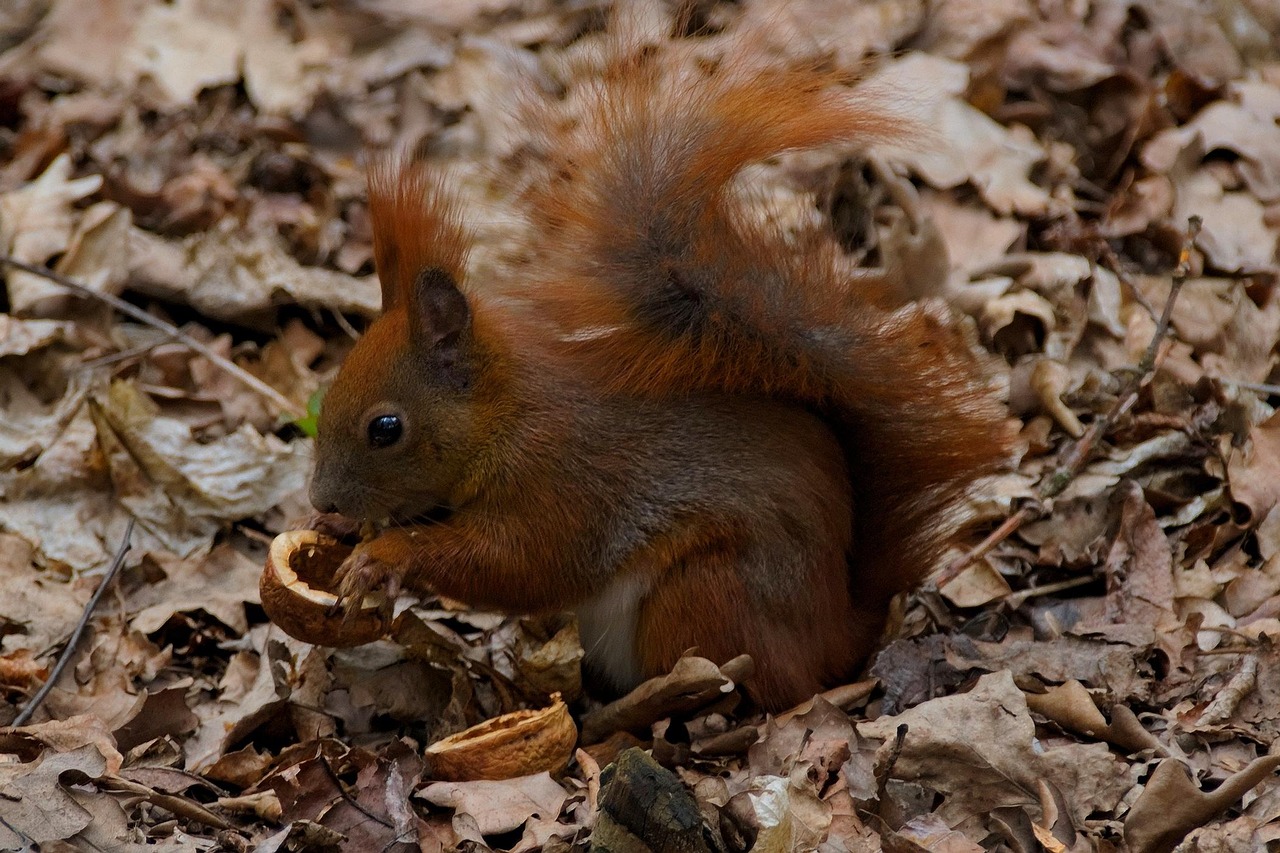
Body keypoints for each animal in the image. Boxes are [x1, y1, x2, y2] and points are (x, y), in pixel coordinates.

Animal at [306, 40, 1013, 711]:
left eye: (386, 428)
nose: (321, 501)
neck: (506, 416)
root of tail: (838, 635)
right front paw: (346, 536)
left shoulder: (563, 480)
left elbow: (520, 565)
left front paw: (387, 556)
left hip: (704, 590)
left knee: (753, 685)